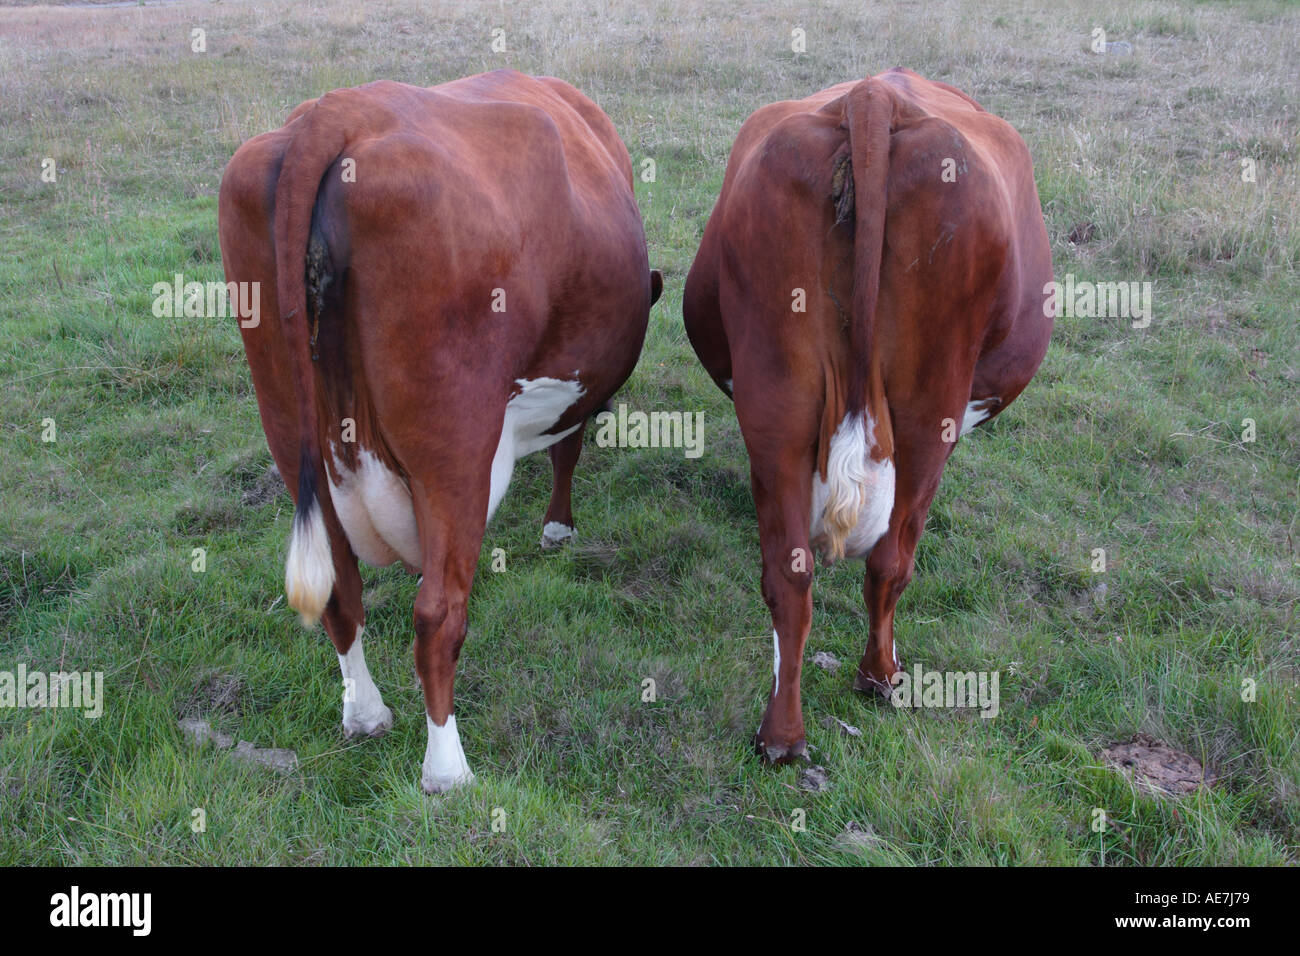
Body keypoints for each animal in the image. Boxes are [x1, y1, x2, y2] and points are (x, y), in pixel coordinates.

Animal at [218, 70, 662, 793]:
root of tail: (336, 112)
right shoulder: (571, 387)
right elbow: (566, 450)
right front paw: (558, 527)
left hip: (286, 422)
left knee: (340, 589)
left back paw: (367, 716)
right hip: (454, 448)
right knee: (437, 615)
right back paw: (448, 770)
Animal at [682, 68, 1053, 763]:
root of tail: (877, 94)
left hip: (777, 404)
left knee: (789, 577)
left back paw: (783, 737)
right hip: (929, 416)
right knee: (890, 561)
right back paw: (879, 677)